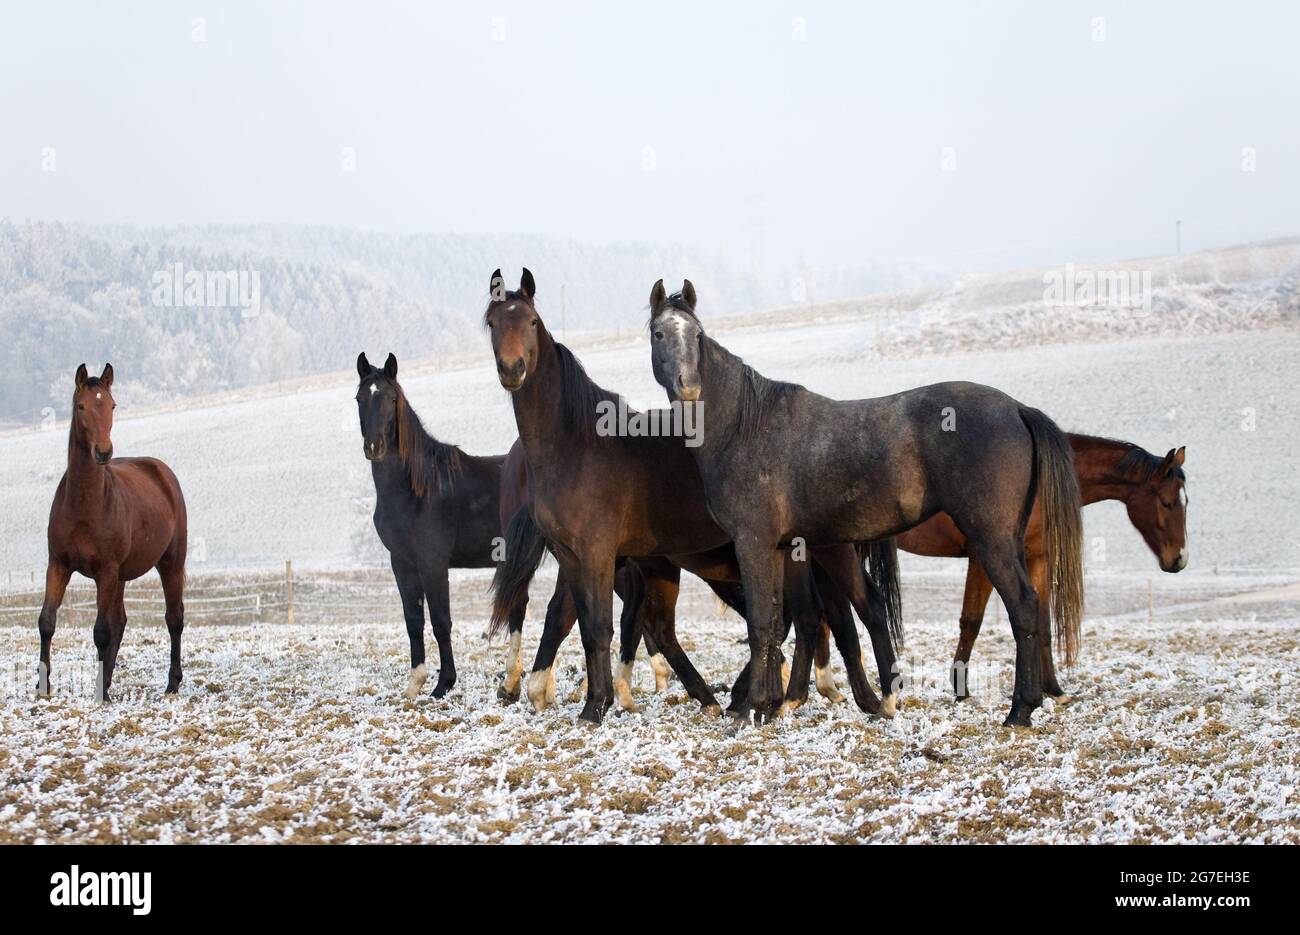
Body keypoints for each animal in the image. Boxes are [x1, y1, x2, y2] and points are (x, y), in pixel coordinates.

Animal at [37, 363, 188, 702]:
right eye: (81, 406)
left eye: (112, 405)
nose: (103, 451)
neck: (84, 504)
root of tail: (162, 472)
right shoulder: (58, 565)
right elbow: (47, 621)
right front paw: (42, 688)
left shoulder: (105, 570)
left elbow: (101, 632)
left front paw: (101, 696)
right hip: (119, 577)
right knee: (120, 622)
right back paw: (106, 681)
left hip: (169, 564)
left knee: (174, 619)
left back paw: (171, 684)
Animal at [485, 269, 900, 723]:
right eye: (493, 322)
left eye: (532, 322)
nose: (512, 369)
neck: (574, 447)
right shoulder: (573, 555)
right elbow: (577, 622)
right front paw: (583, 699)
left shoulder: (597, 552)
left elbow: (594, 625)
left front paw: (595, 704)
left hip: (823, 552)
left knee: (849, 611)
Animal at [648, 280, 1085, 727]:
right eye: (659, 333)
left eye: (698, 335)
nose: (689, 384)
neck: (745, 427)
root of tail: (1017, 408)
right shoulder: (782, 547)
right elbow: (775, 619)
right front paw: (768, 704)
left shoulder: (753, 542)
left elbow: (762, 622)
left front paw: (751, 707)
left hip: (990, 538)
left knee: (1024, 606)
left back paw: (1020, 710)